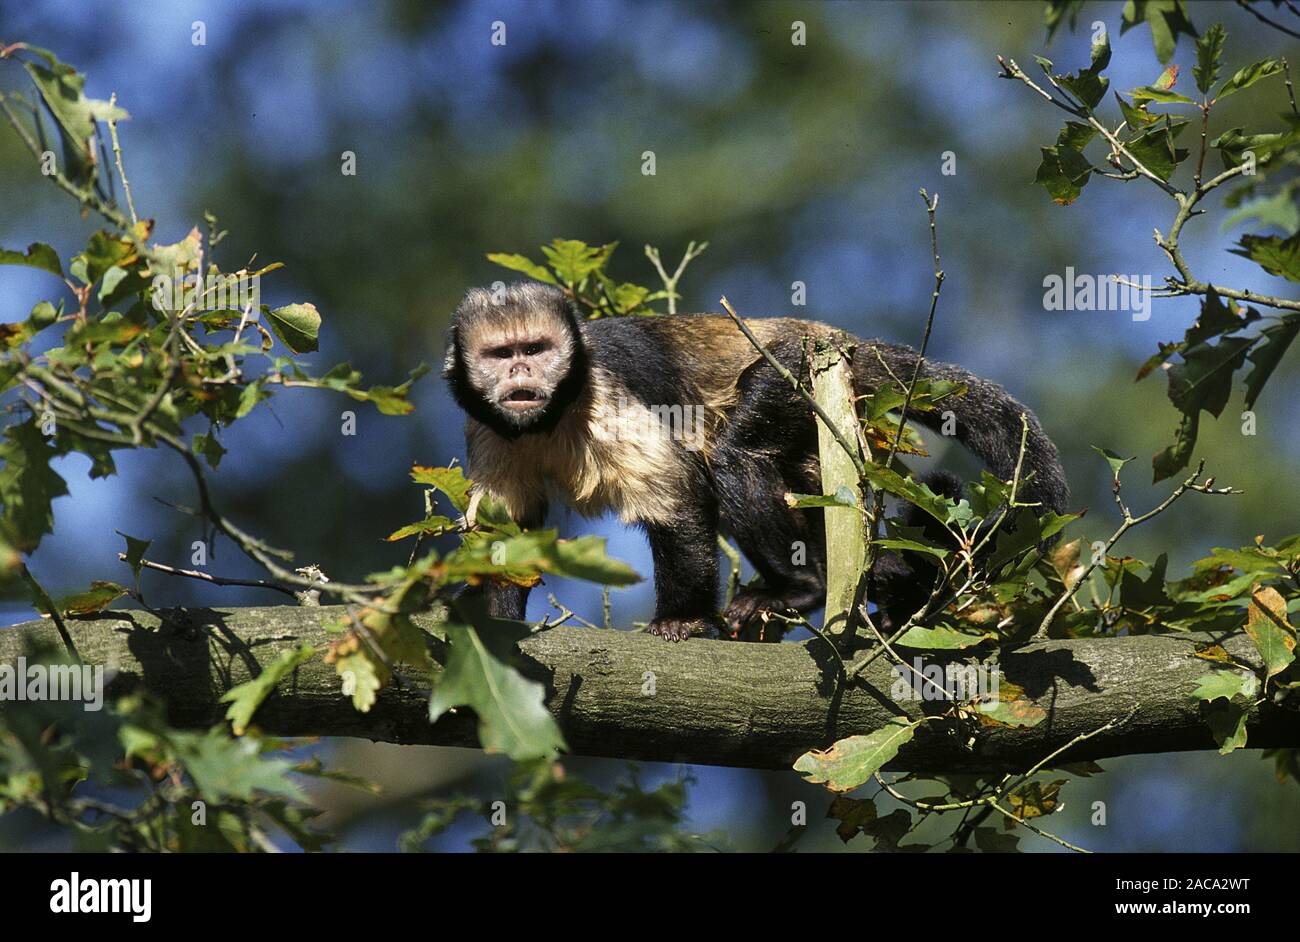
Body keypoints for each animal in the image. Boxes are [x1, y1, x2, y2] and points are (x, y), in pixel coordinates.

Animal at [443, 281, 1068, 642]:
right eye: (501, 355)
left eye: (536, 350)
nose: (520, 372)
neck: (549, 417)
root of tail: (838, 338)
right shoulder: (483, 427)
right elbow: (505, 532)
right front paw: (496, 624)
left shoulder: (603, 393)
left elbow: (677, 498)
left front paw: (683, 618)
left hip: (799, 374)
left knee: (734, 454)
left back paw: (802, 588)